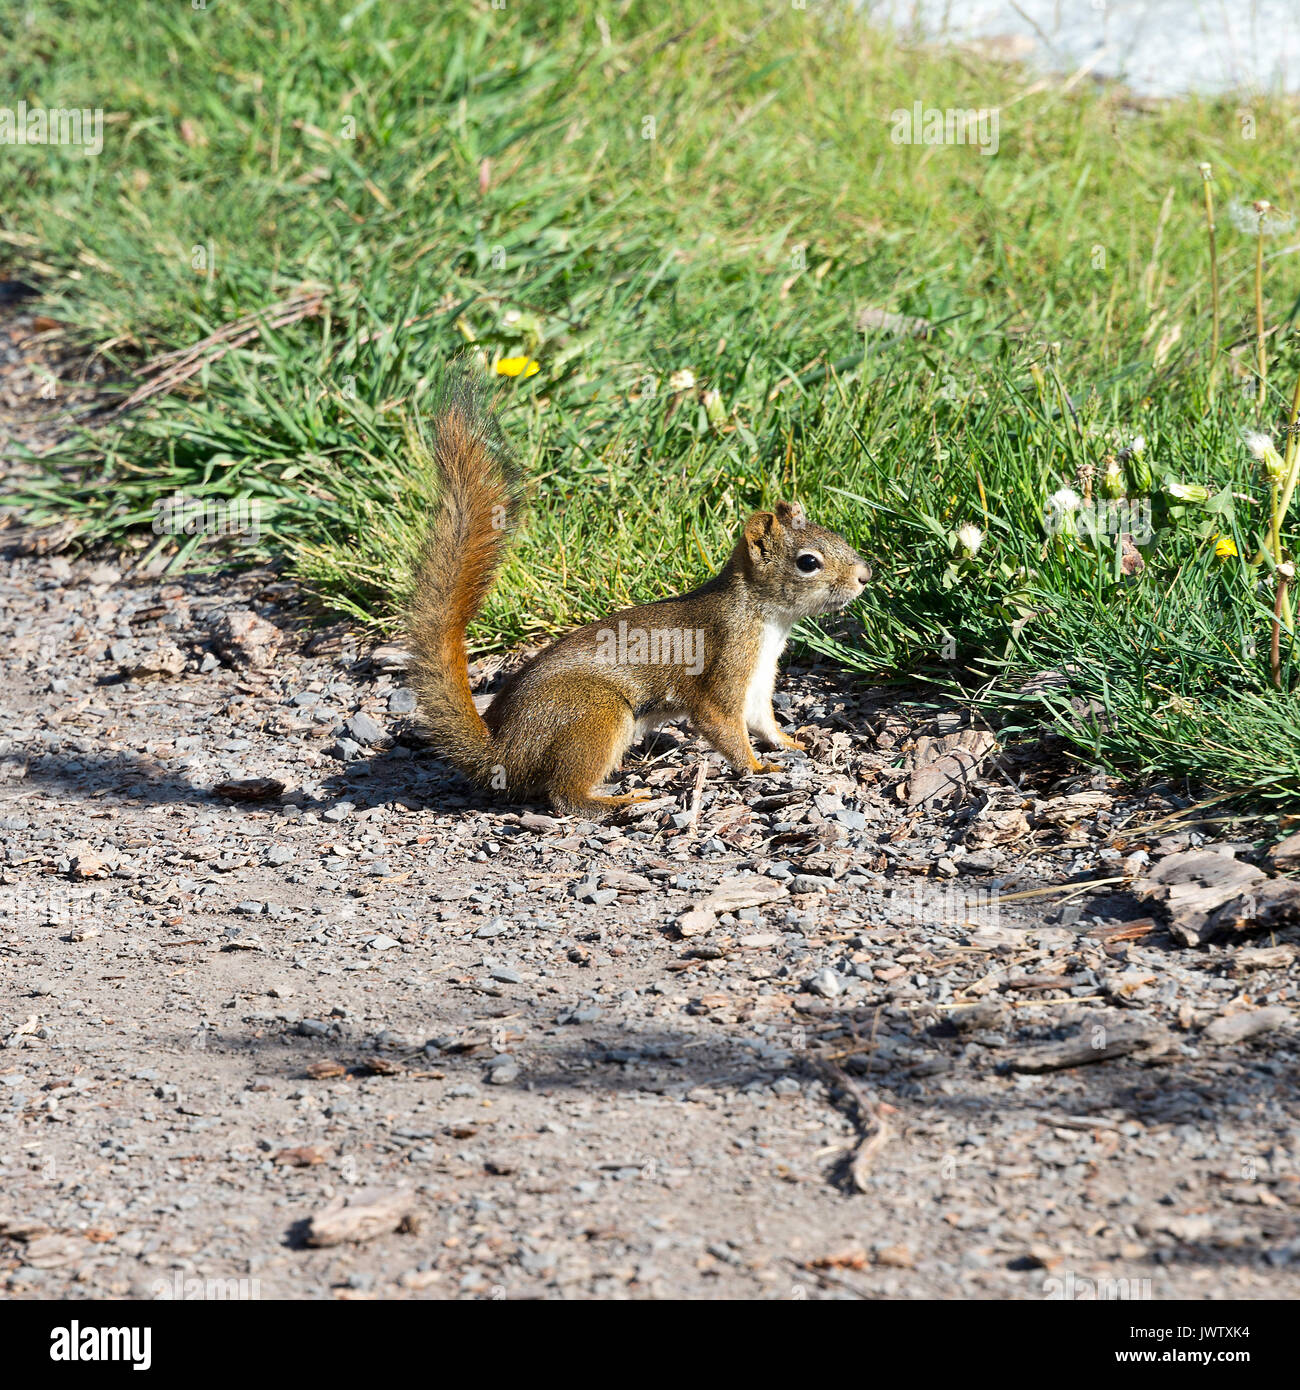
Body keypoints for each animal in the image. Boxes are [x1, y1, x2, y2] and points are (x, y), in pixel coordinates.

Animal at [406, 383, 871, 817]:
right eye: (808, 562)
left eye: (837, 536)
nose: (865, 577)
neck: (766, 617)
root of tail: (502, 752)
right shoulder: (725, 661)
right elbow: (721, 723)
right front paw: (758, 767)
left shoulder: (757, 680)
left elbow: (762, 721)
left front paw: (792, 742)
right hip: (595, 715)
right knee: (565, 795)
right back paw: (623, 801)